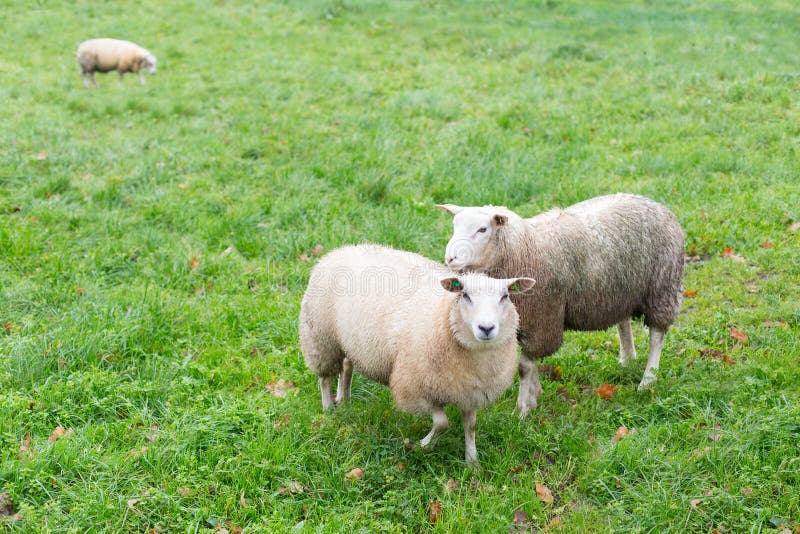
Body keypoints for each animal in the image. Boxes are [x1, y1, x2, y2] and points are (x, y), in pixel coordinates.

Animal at [299, 244, 535, 463]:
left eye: (505, 296)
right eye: (465, 295)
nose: (486, 328)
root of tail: (341, 249)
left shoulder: (470, 392)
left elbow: (471, 426)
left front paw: (472, 460)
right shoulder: (416, 387)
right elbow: (442, 423)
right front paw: (420, 445)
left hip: (348, 340)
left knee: (347, 366)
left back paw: (344, 400)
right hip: (320, 338)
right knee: (324, 378)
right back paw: (329, 408)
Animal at [438, 193, 684, 417]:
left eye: (482, 230)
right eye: (454, 226)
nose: (450, 258)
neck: (524, 248)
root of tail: (658, 205)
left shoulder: (543, 318)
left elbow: (524, 367)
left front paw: (522, 410)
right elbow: (530, 363)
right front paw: (535, 396)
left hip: (663, 287)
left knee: (657, 335)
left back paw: (648, 379)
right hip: (620, 290)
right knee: (623, 323)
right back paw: (627, 360)